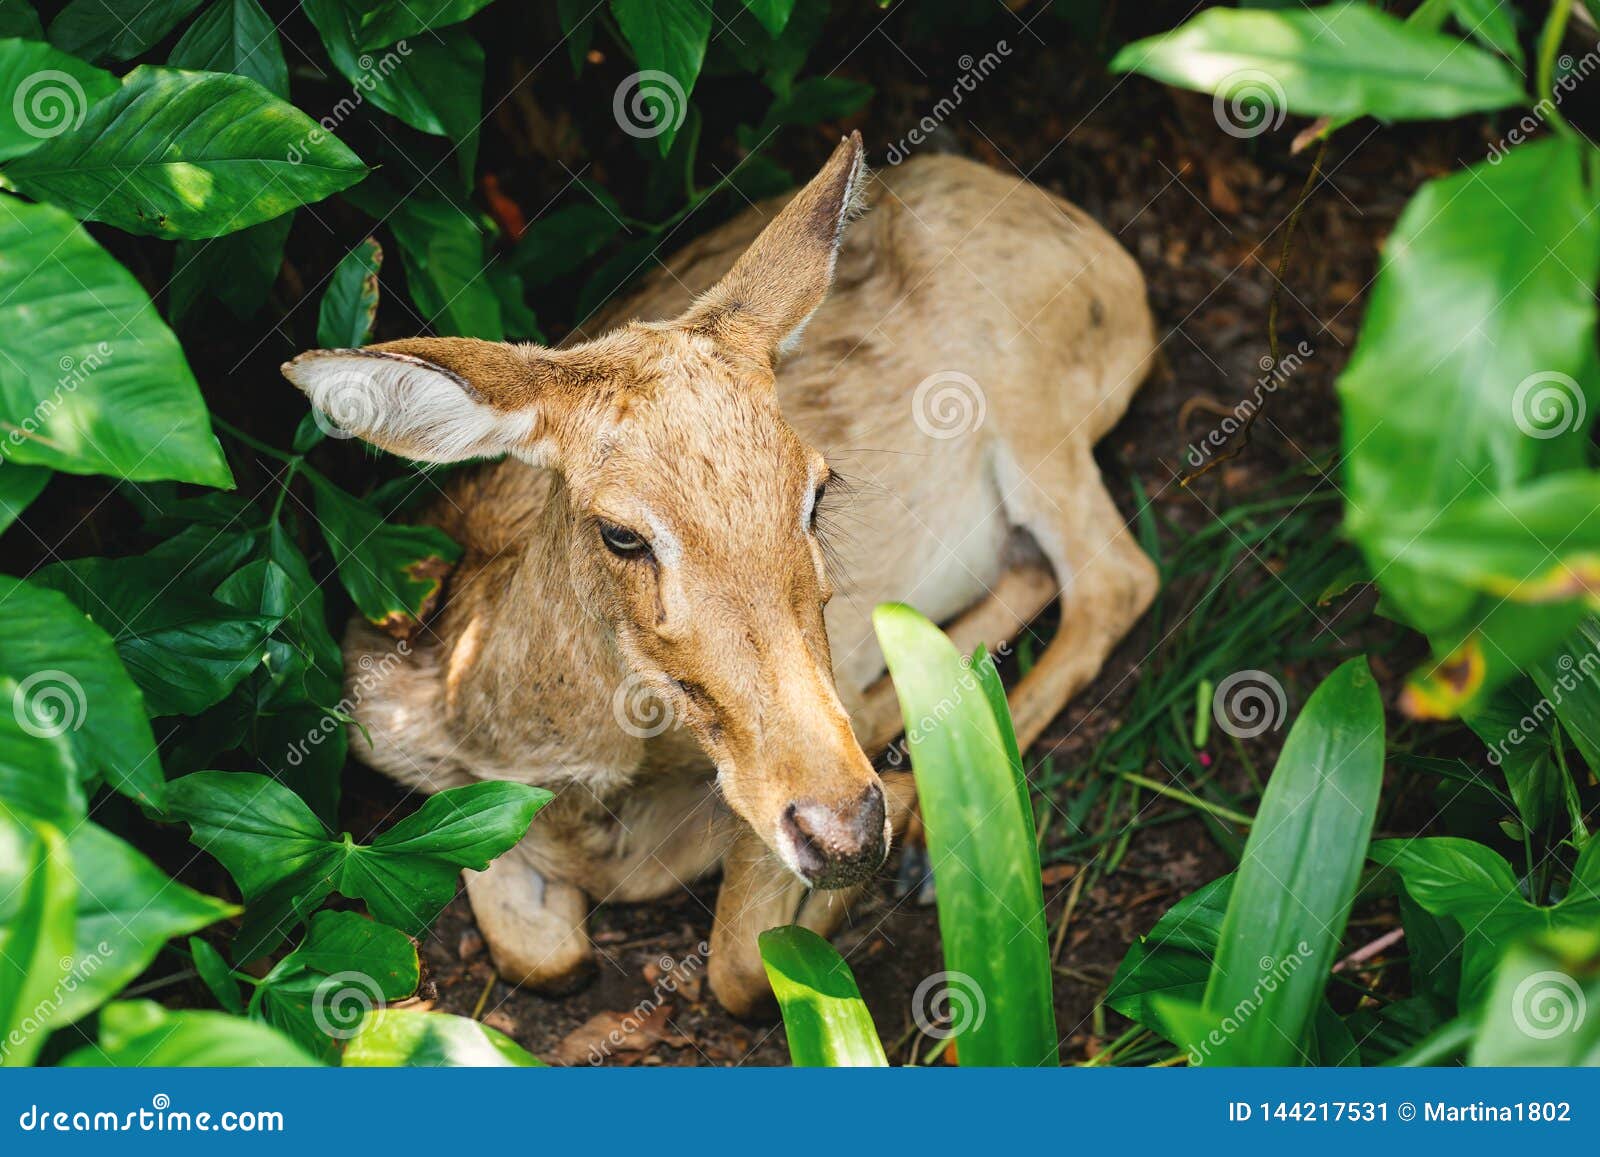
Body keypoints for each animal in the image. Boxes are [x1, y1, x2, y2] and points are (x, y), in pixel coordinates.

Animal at [282, 133, 1158, 1017]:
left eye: (817, 488)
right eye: (621, 532)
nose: (846, 828)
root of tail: (1119, 271)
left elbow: (739, 970)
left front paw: (906, 823)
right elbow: (542, 954)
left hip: (1031, 396)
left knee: (1118, 573)